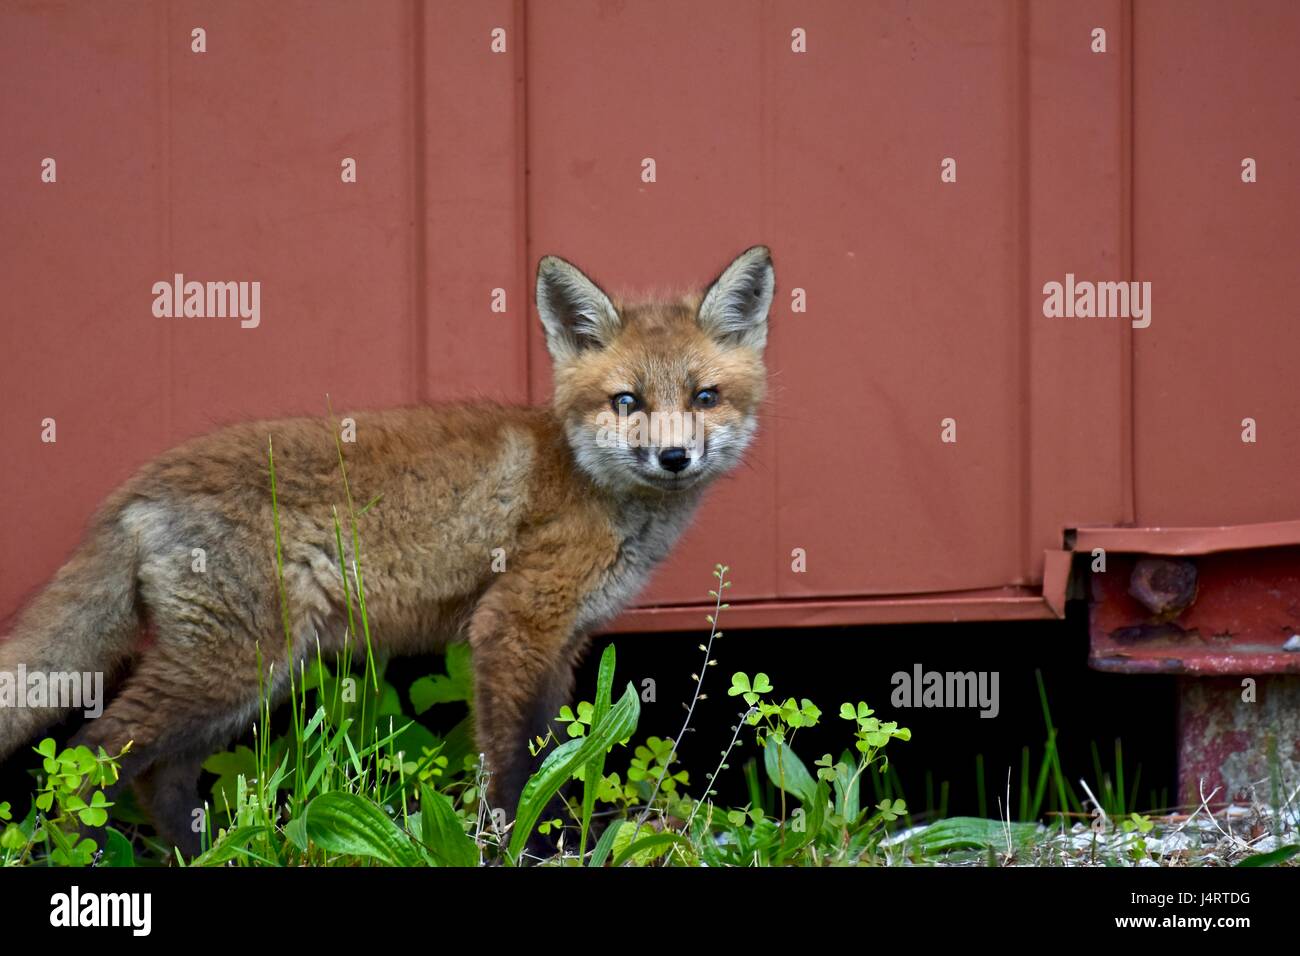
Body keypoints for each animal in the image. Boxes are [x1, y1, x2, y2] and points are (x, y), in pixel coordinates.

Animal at [0, 245, 774, 856]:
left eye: (705, 397)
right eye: (627, 402)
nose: (674, 457)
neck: (590, 481)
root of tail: (137, 484)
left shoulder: (561, 646)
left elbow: (550, 756)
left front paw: (554, 846)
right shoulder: (511, 627)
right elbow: (513, 773)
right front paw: (515, 850)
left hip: (245, 679)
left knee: (158, 777)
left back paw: (205, 854)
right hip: (230, 669)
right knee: (88, 752)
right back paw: (82, 852)